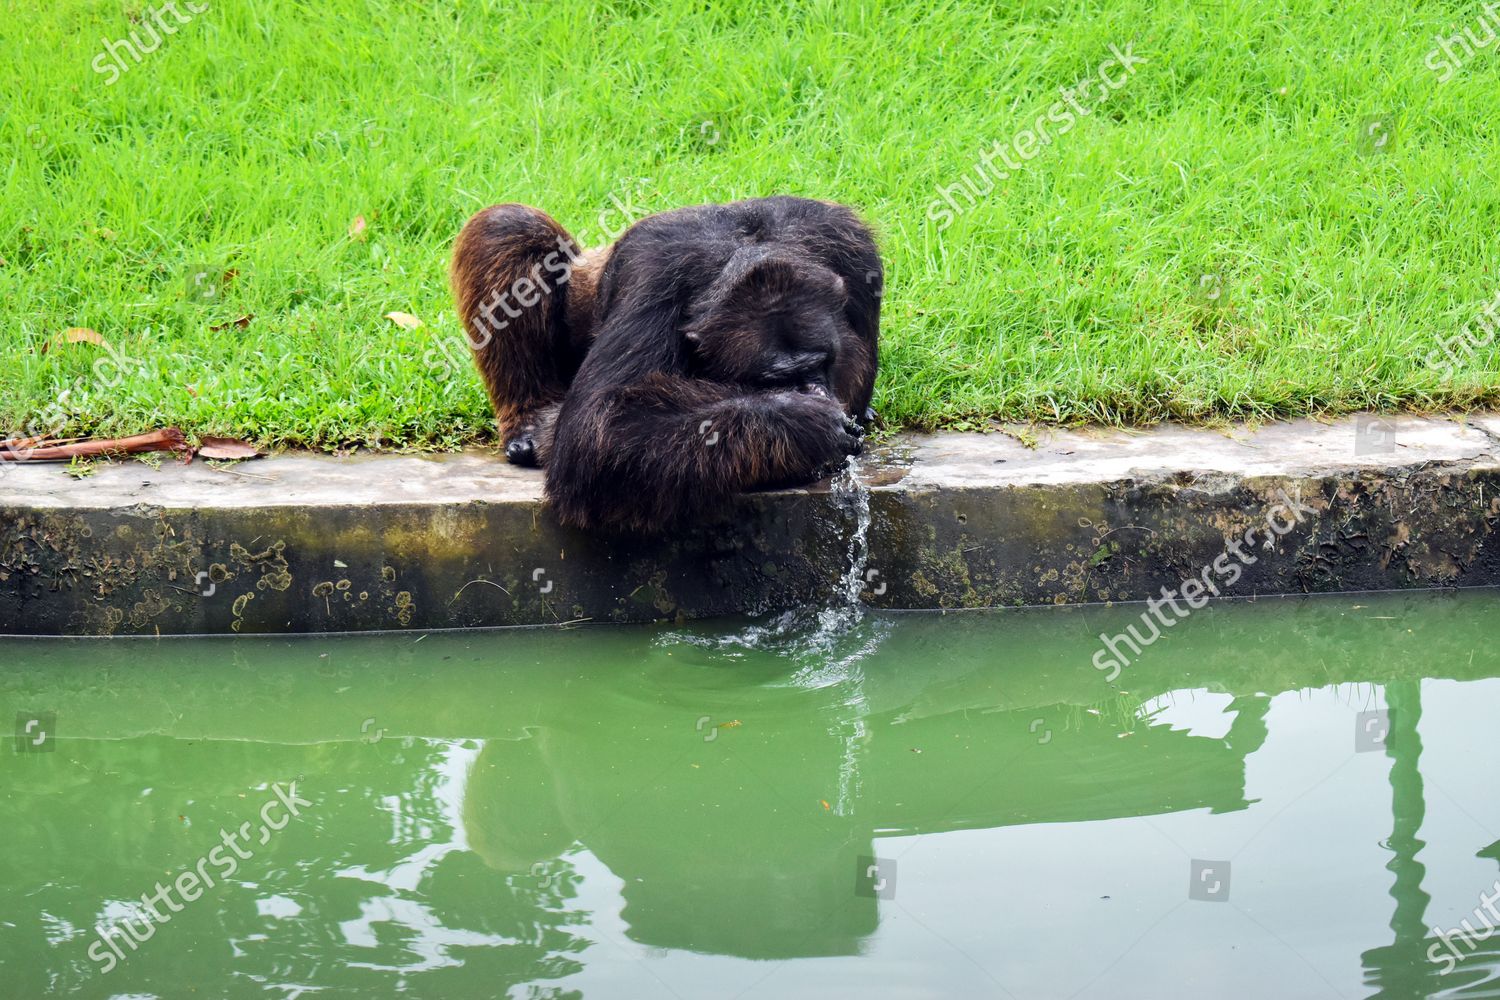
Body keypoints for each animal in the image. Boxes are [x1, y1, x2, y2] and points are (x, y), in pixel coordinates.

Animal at [450, 196, 881, 533]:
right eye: (772, 380)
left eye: (819, 364)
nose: (811, 390)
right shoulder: (653, 279)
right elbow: (597, 430)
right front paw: (800, 421)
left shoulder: (852, 248)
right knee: (509, 225)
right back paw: (528, 423)